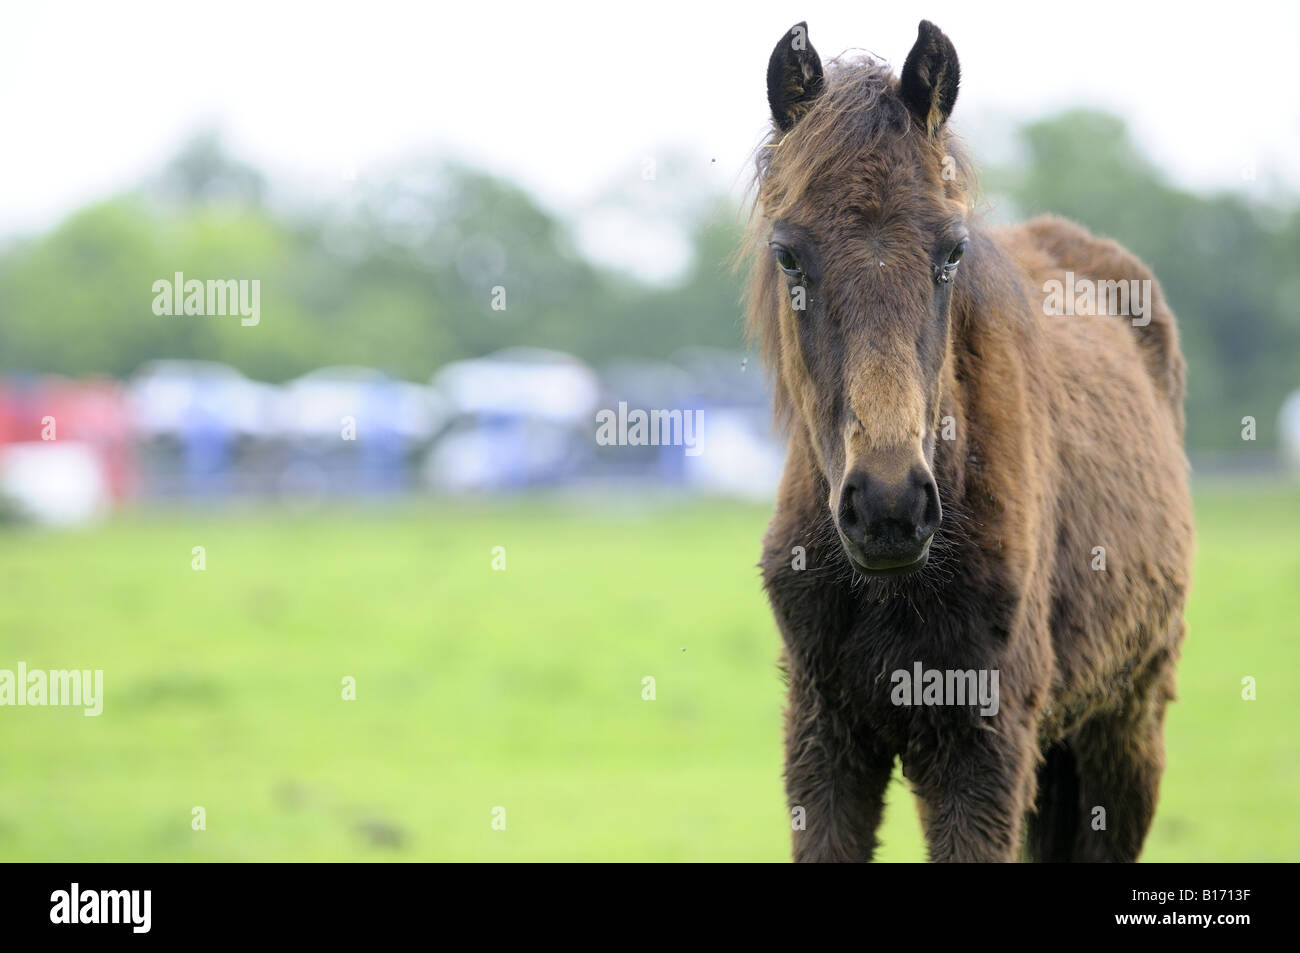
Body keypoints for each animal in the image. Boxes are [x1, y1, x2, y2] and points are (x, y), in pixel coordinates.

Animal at [744, 20, 1194, 862]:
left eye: (951, 251)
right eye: (788, 255)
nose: (888, 507)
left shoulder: (983, 751)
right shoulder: (823, 742)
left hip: (1124, 731)